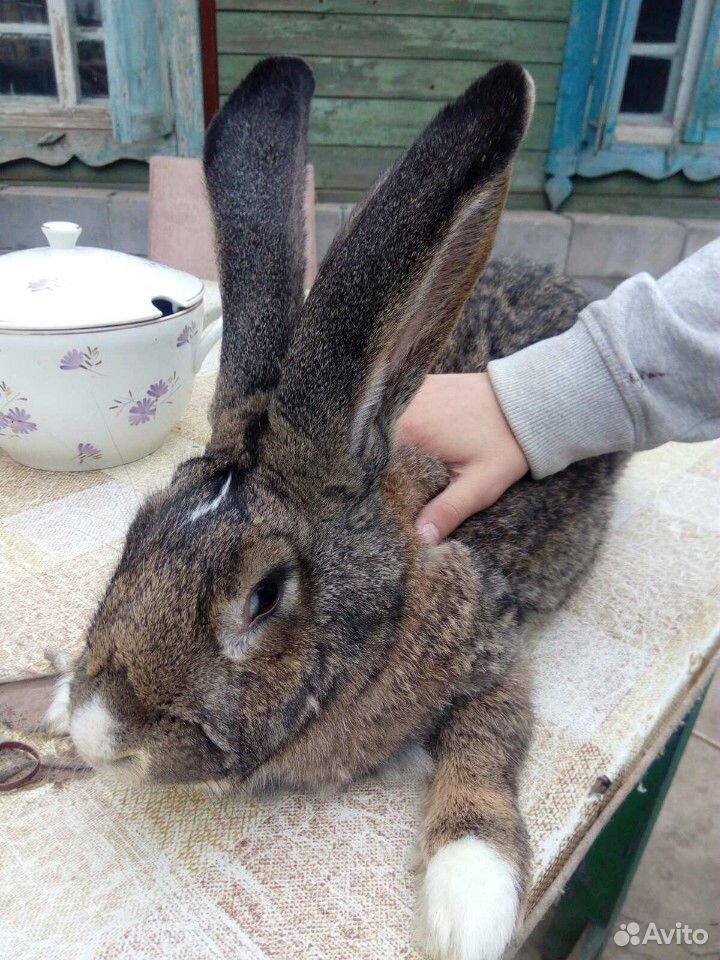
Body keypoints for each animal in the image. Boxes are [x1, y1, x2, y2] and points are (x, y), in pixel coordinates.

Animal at [45, 57, 623, 960]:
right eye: (135, 535)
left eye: (264, 596)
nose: (100, 734)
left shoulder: (494, 648)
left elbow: (486, 747)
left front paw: (470, 902)